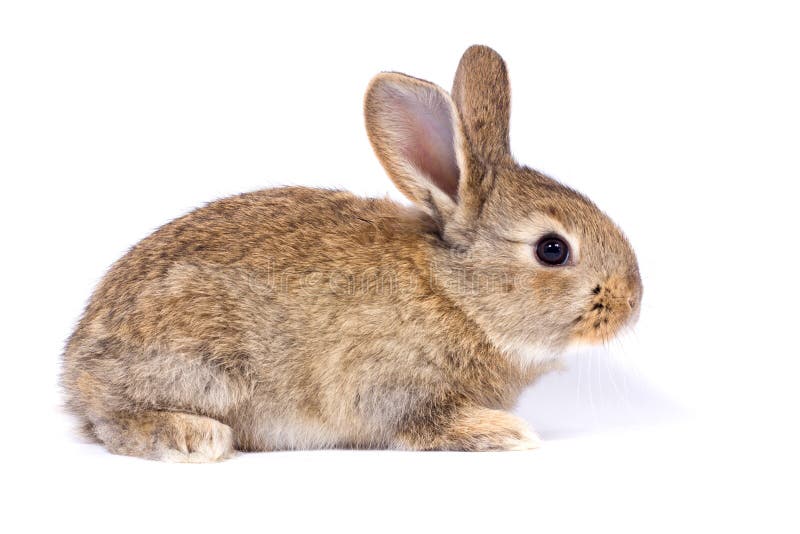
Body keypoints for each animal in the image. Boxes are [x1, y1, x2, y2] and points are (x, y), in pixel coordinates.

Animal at [61, 45, 642, 462]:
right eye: (552, 249)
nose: (632, 304)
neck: (456, 295)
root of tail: (75, 368)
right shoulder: (393, 388)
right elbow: (421, 426)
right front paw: (506, 432)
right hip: (202, 364)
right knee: (115, 421)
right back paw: (196, 438)